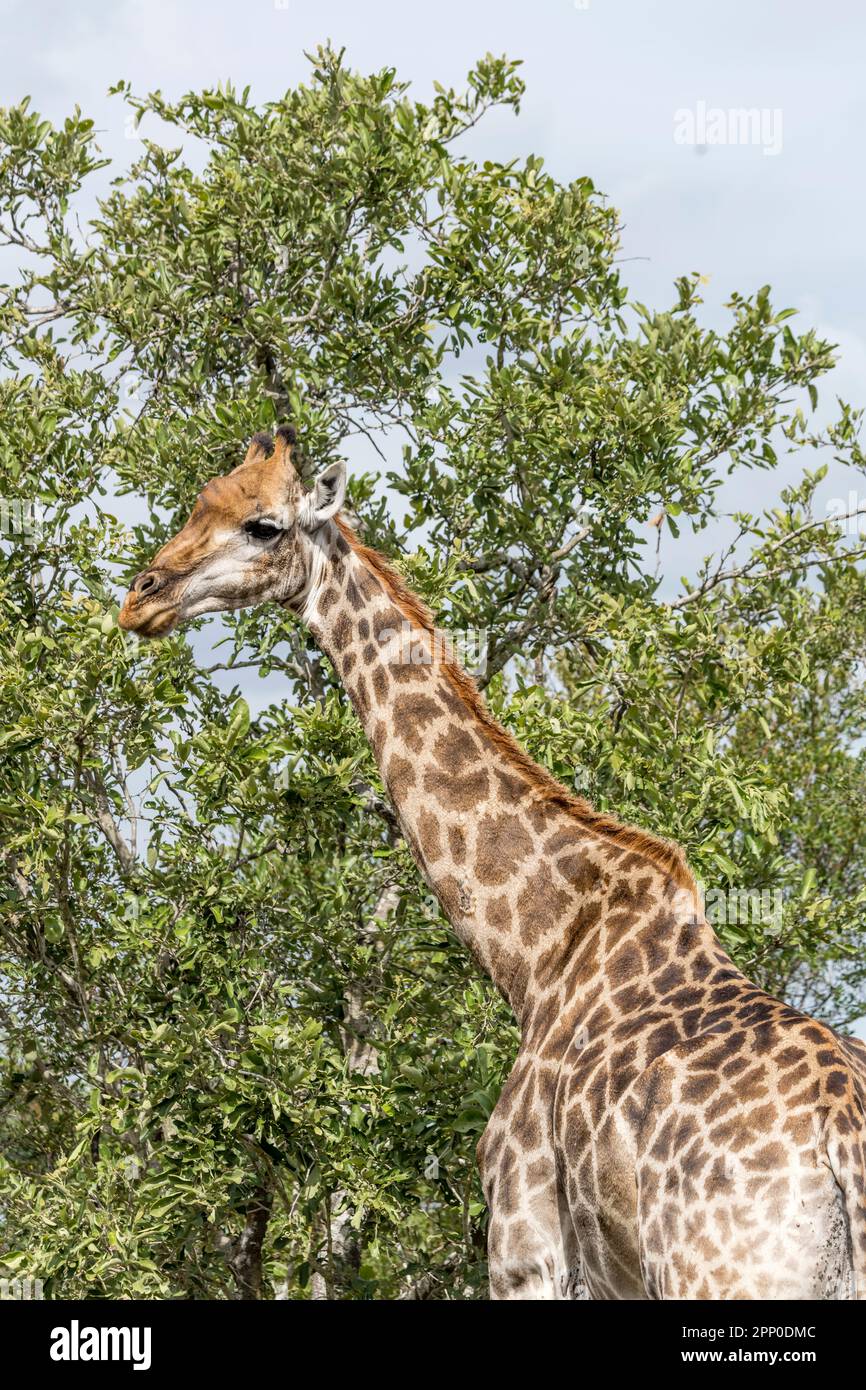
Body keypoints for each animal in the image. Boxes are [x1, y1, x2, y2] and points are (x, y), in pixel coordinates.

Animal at [119, 426, 866, 1300]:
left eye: (263, 526)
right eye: (198, 503)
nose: (141, 596)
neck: (538, 954)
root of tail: (843, 1143)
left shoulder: (524, 1244)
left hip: (721, 1272)